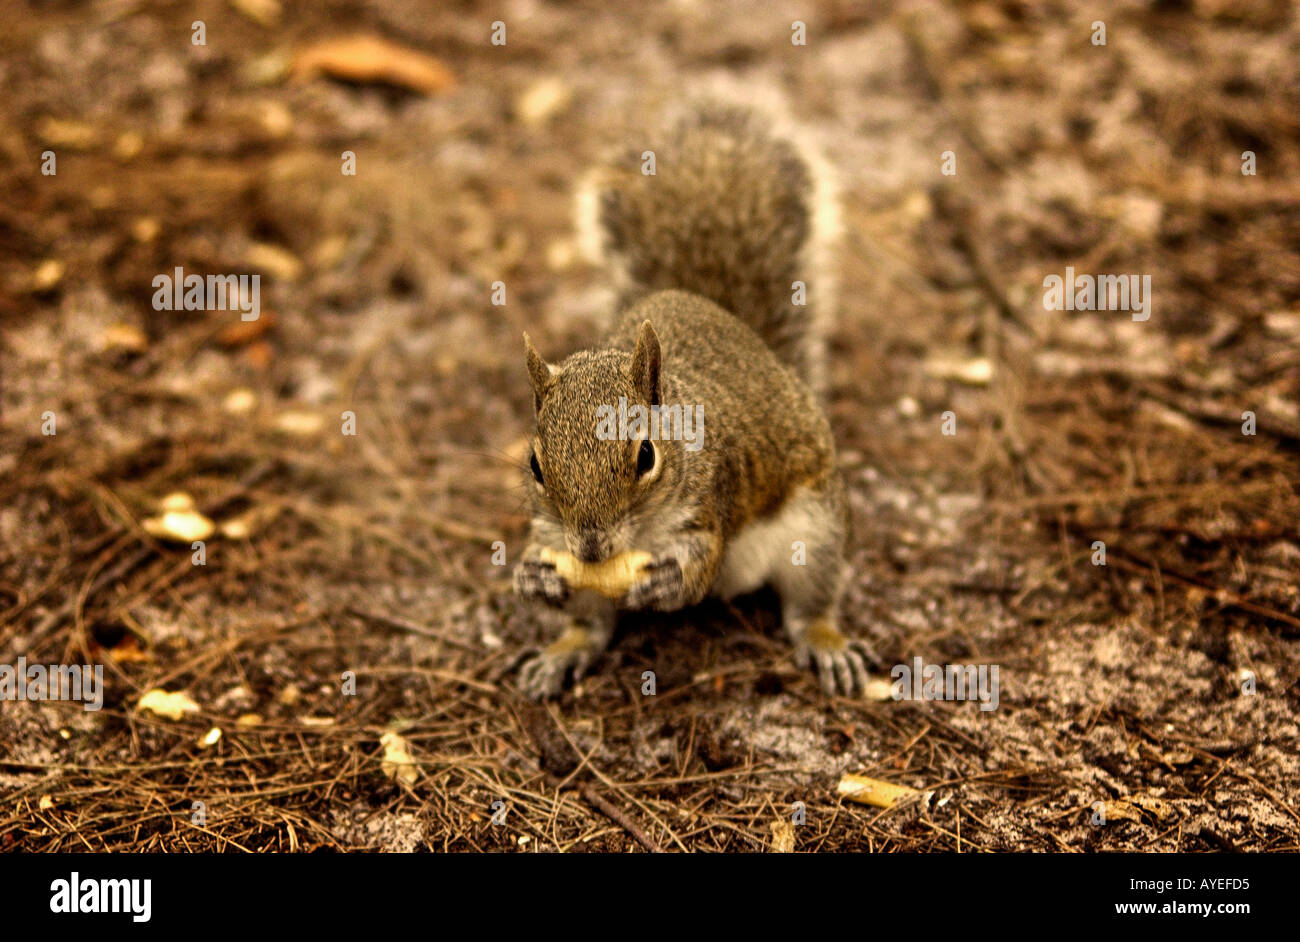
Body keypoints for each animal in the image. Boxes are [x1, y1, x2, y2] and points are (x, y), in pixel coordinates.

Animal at [513, 101, 873, 699]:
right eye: (536, 465)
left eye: (645, 456)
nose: (590, 551)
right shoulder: (551, 528)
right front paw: (530, 576)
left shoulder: (713, 498)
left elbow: (703, 563)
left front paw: (671, 581)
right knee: (592, 624)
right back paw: (565, 650)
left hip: (817, 528)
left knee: (811, 602)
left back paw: (827, 641)